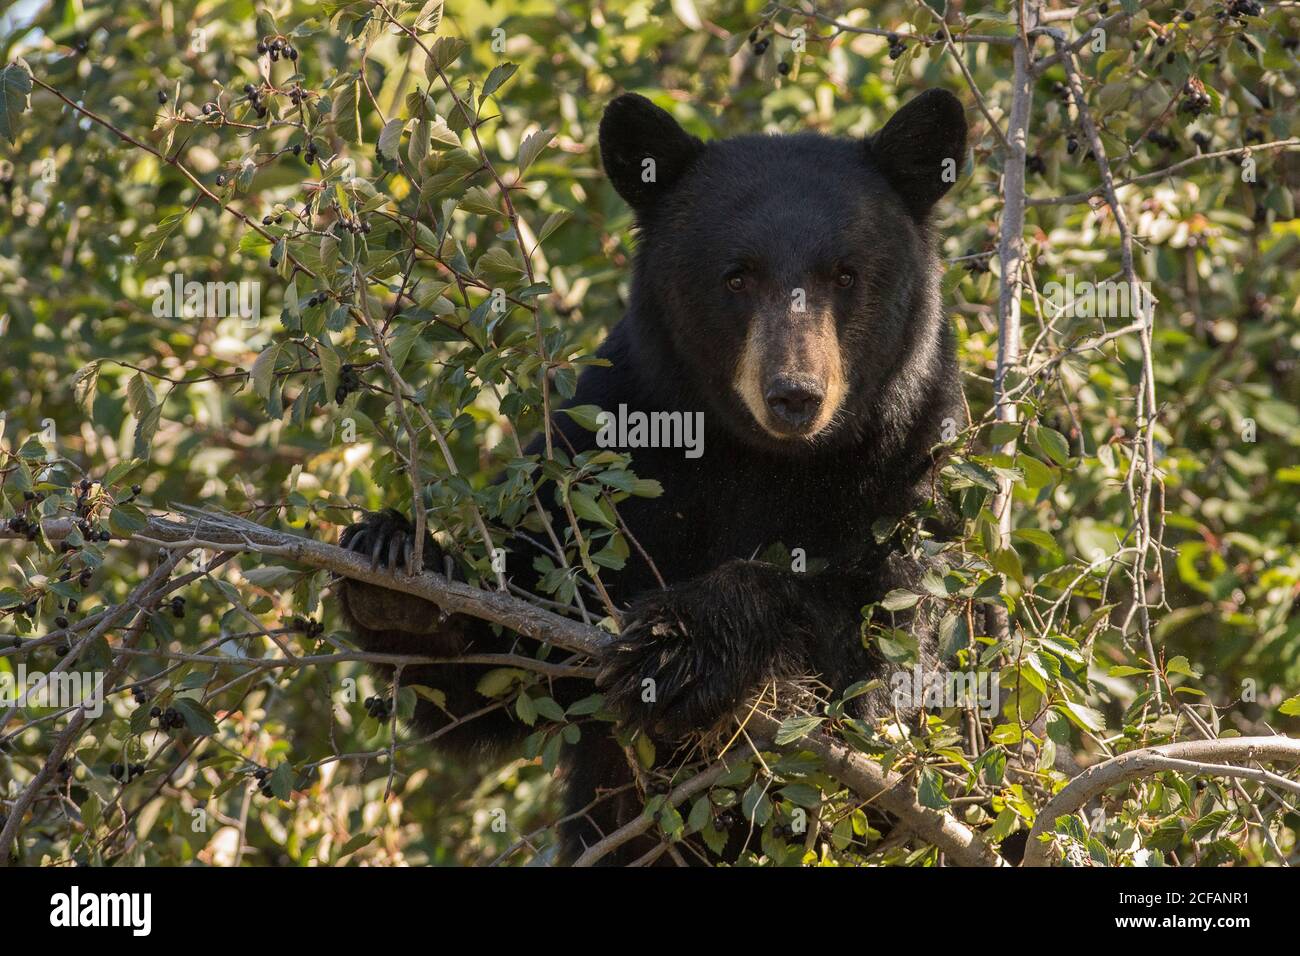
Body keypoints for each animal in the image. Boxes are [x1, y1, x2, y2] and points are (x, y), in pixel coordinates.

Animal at [336, 88, 968, 865]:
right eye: (737, 276)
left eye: (845, 275)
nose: (795, 395)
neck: (759, 460)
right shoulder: (606, 450)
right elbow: (506, 662)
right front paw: (398, 564)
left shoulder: (908, 470)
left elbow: (881, 671)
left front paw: (681, 645)